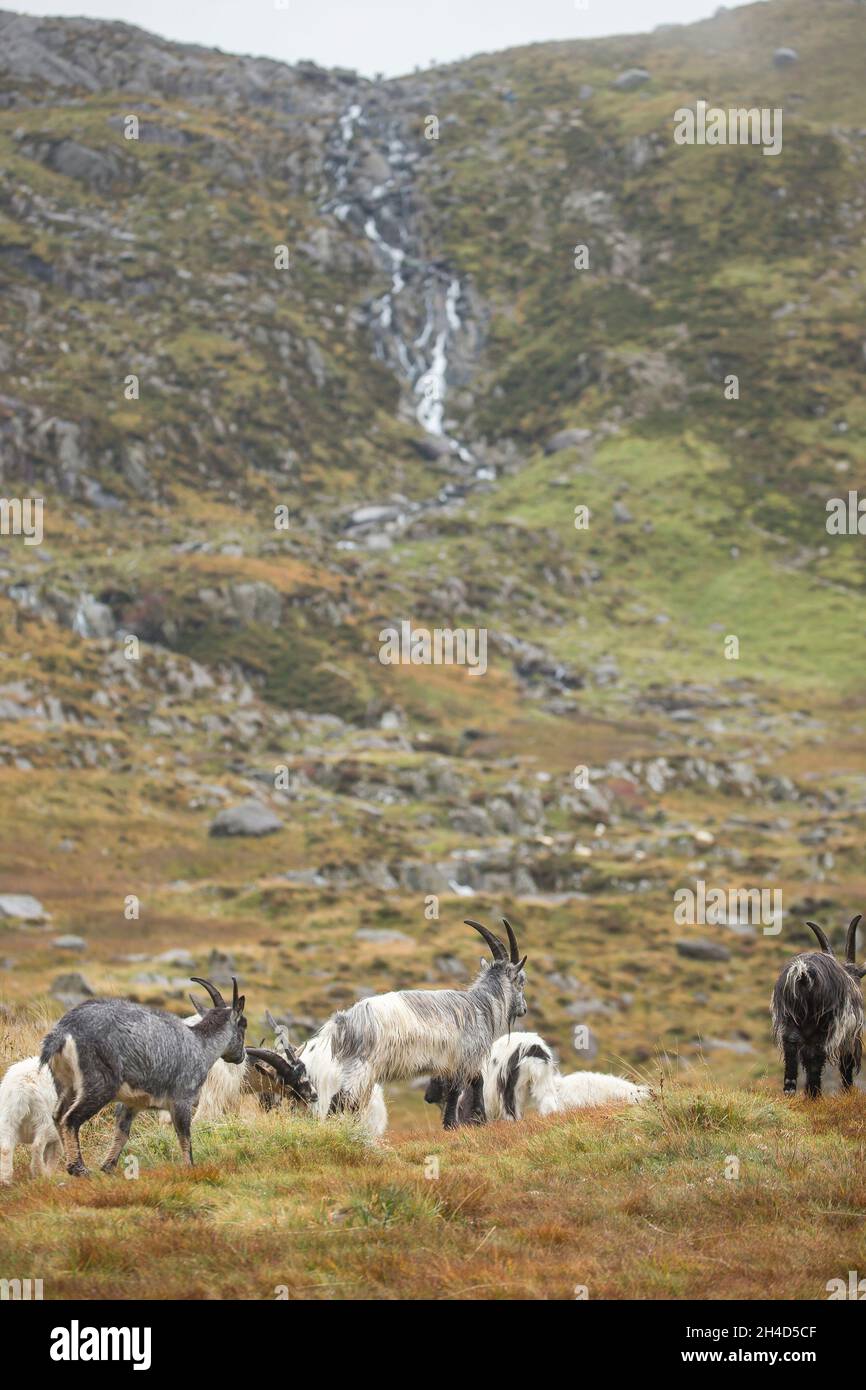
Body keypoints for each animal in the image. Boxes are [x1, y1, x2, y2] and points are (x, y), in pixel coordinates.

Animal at [39, 975, 246, 1175]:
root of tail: (64, 1032)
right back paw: (78, 1169)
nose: (241, 1056)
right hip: (99, 1084)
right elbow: (184, 1136)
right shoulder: (182, 1099)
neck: (200, 1044)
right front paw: (190, 1168)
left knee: (58, 1116)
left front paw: (108, 1167)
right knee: (70, 1119)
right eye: (243, 1025)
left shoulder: (132, 1103)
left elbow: (122, 1133)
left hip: (66, 1084)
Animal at [308, 917, 528, 1129]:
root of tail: (343, 1021)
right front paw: (469, 1121)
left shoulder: (449, 1063)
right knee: (340, 1100)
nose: (524, 1009)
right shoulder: (465, 1057)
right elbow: (469, 1085)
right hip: (360, 1067)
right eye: (521, 980)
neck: (482, 1004)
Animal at [771, 915, 865, 1097]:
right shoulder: (850, 1033)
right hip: (823, 1023)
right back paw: (815, 1095)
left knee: (792, 1045)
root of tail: (802, 973)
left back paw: (792, 1091)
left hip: (790, 1018)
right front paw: (848, 1092)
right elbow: (846, 1062)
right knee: (817, 1054)